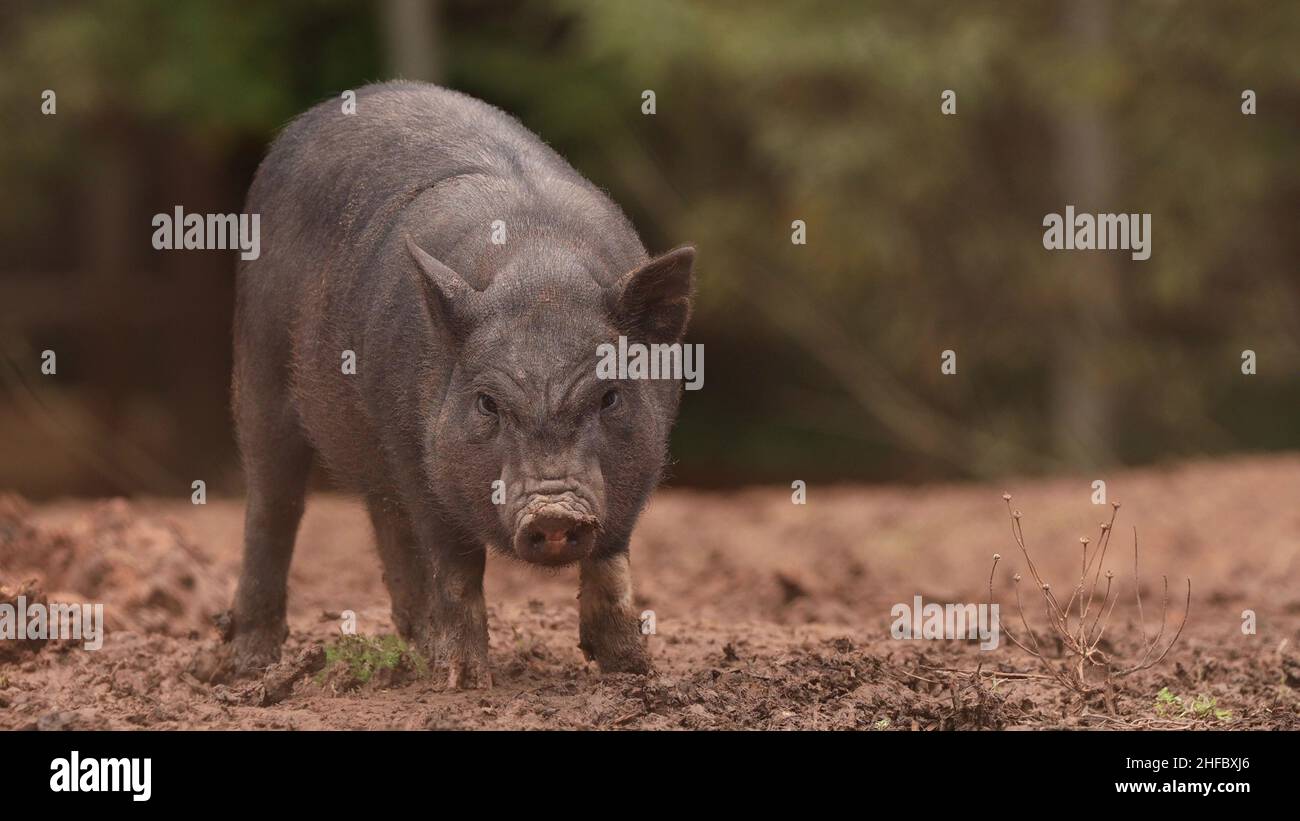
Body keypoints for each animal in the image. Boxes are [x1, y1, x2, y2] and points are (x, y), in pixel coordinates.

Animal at [226, 81, 695, 688]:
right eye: (488, 403)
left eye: (610, 396)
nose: (554, 512)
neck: (540, 271)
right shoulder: (420, 457)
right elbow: (456, 565)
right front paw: (466, 683)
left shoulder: (634, 477)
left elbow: (611, 563)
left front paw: (635, 673)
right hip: (259, 363)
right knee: (273, 502)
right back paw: (247, 667)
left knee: (386, 522)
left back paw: (416, 652)